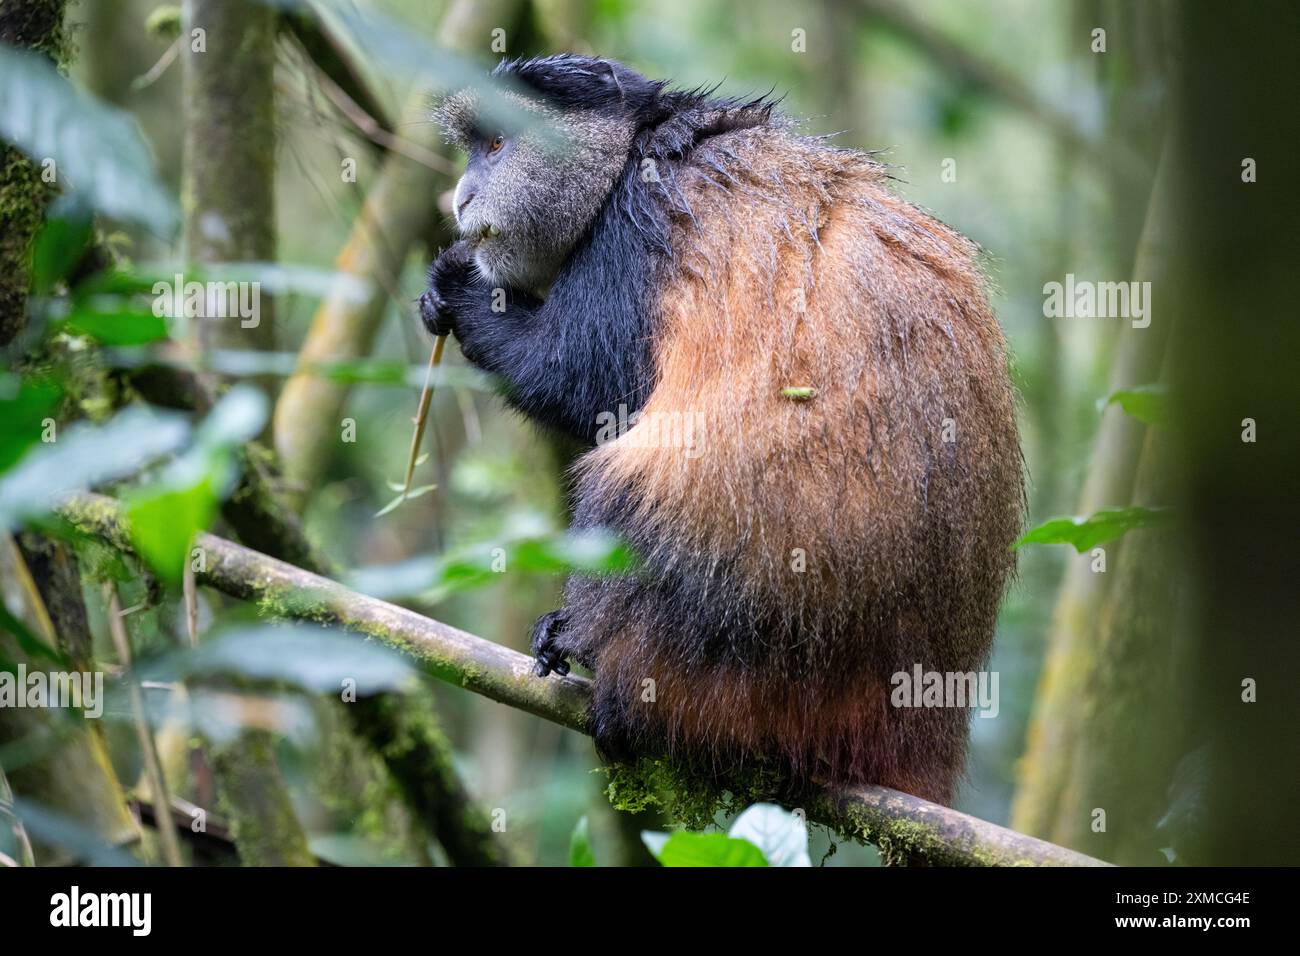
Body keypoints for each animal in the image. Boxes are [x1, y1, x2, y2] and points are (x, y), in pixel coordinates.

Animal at [421, 54, 1023, 806]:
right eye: (473, 148)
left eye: (497, 144)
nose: (459, 198)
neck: (630, 150)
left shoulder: (634, 227)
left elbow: (581, 381)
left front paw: (457, 288)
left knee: (628, 484)